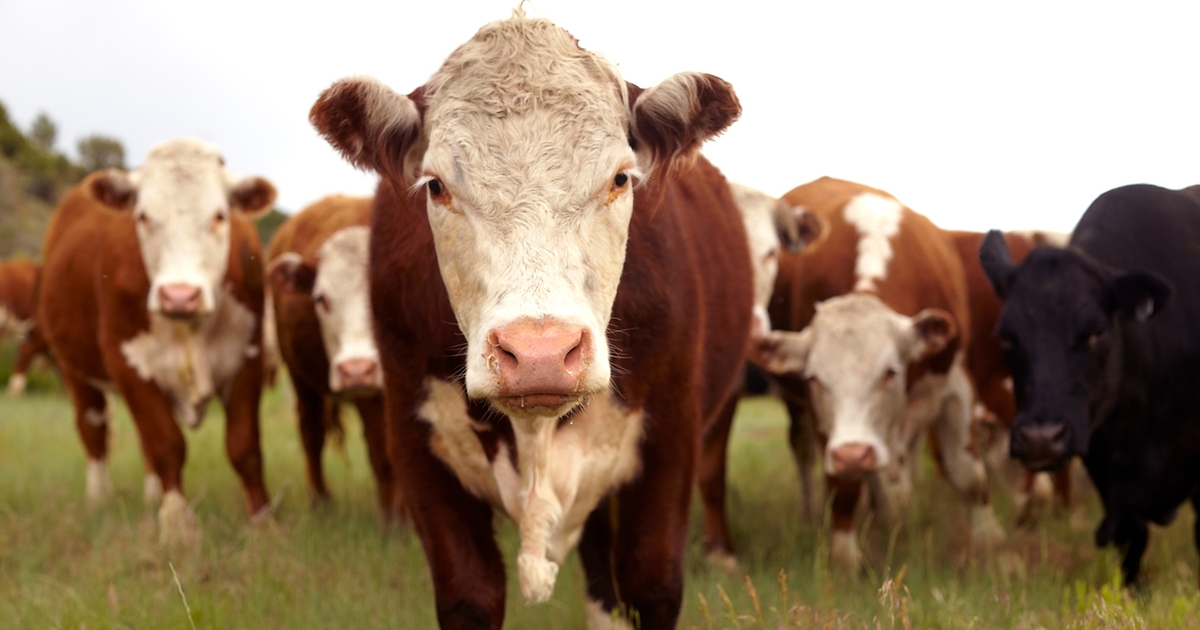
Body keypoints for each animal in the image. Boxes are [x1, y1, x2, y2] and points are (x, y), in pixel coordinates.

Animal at [38, 138, 276, 545]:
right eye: (144, 217)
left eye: (220, 215)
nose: (179, 296)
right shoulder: (129, 364)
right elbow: (166, 443)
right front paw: (177, 525)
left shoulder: (248, 356)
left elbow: (244, 445)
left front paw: (262, 522)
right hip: (74, 369)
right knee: (94, 428)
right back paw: (99, 498)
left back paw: (151, 495)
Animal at [265, 194, 395, 519]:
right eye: (320, 298)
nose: (357, 369)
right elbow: (384, 457)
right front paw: (396, 520)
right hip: (301, 382)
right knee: (312, 434)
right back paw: (321, 502)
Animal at [309, 10, 749, 628]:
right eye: (436, 186)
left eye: (620, 178)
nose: (540, 355)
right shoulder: (419, 450)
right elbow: (469, 592)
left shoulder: (671, 439)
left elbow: (652, 582)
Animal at [748, 176, 1004, 571]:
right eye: (814, 378)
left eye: (890, 372)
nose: (854, 453)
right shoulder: (828, 427)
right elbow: (843, 487)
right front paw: (844, 561)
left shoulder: (955, 384)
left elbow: (969, 475)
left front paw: (994, 548)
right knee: (805, 451)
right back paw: (813, 515)